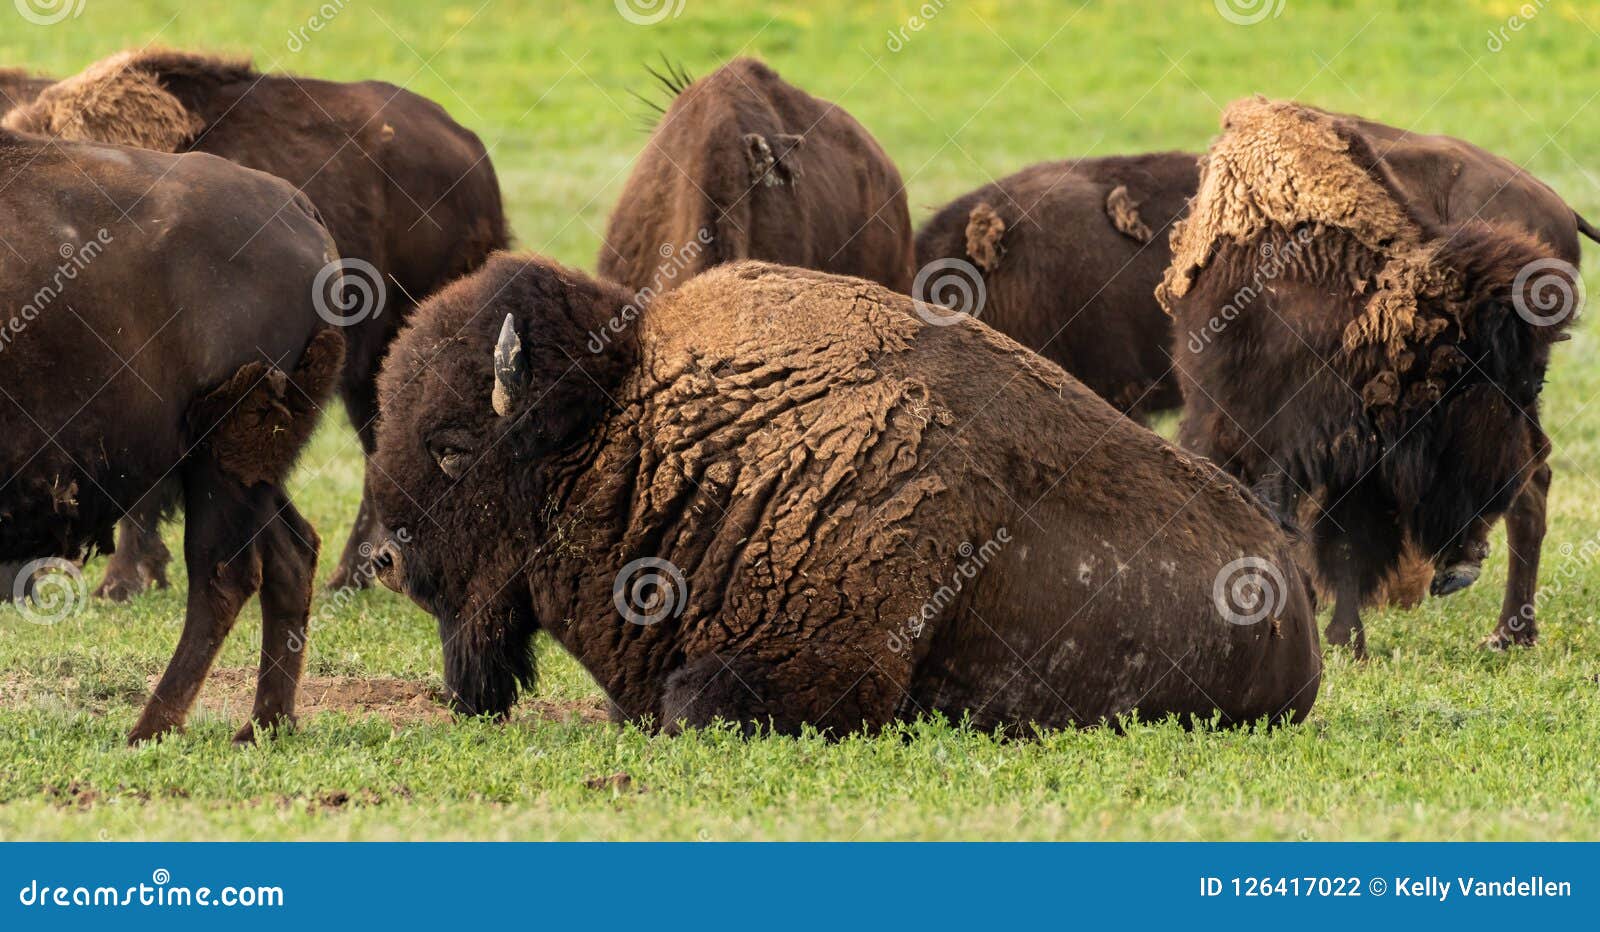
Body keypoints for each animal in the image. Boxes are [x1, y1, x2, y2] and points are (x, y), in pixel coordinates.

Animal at [0, 127, 344, 742]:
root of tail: (295, 207)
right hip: (249, 466)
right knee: (291, 555)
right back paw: (263, 725)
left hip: (221, 458)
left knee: (223, 578)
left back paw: (151, 728)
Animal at [370, 255, 1320, 734]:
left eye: (451, 445)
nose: (384, 560)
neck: (638, 429)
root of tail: (1295, 599)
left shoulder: (819, 672)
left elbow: (693, 705)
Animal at [1161, 98, 1590, 656]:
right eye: (1469, 384)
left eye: (1530, 383)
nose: (1467, 557)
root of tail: (1557, 203)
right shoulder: (1238, 427)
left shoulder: (1347, 454)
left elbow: (1344, 546)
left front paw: (1345, 643)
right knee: (1534, 491)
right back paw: (1510, 633)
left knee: (1533, 492)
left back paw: (1506, 633)